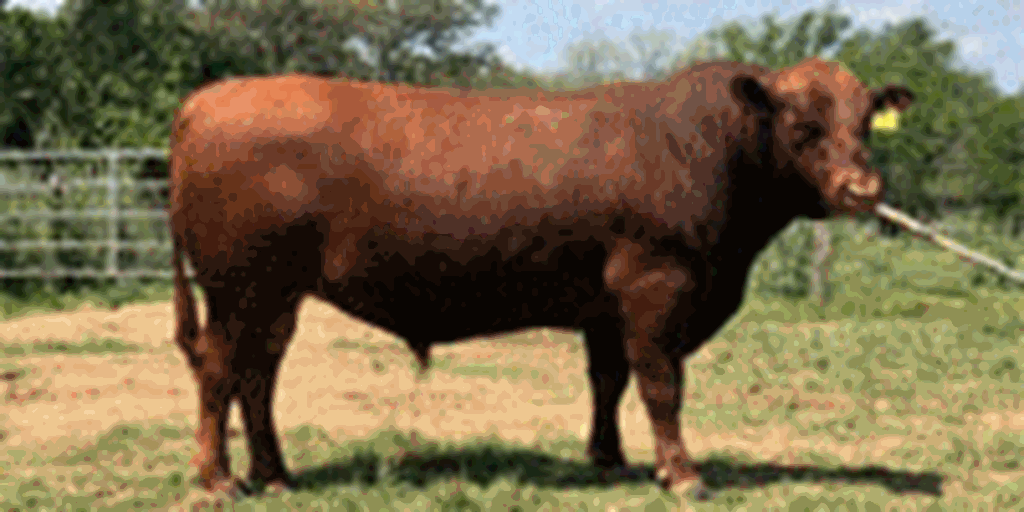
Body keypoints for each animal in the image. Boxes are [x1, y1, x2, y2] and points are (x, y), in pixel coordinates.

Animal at [168, 57, 914, 498]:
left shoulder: (607, 307)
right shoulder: (656, 287)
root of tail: (209, 99)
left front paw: (609, 458)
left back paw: (274, 475)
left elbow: (609, 381)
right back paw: (218, 481)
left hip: (276, 295)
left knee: (258, 376)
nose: (863, 188)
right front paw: (682, 475)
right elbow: (662, 385)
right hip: (237, 288)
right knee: (218, 372)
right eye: (802, 124)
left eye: (865, 122)